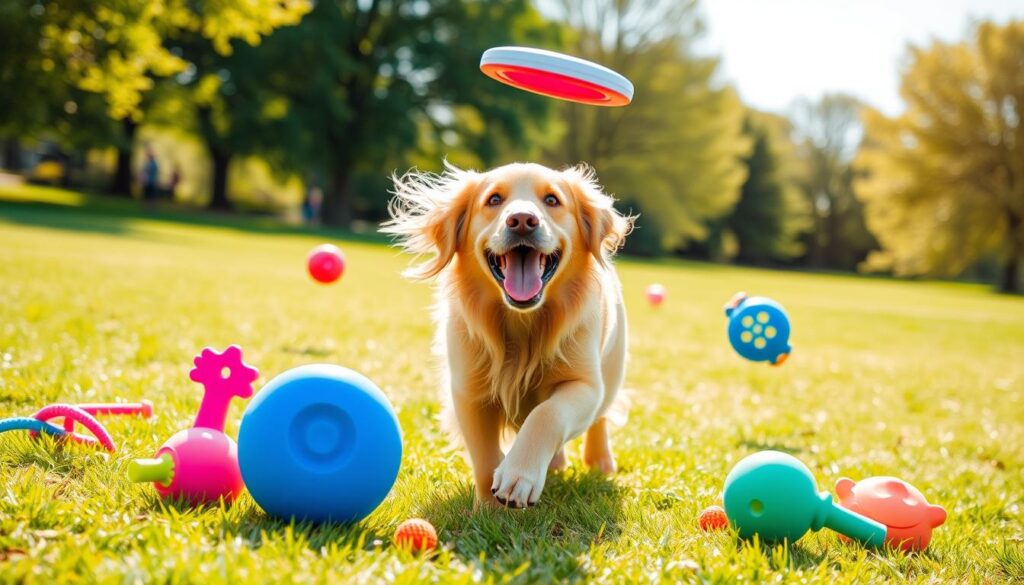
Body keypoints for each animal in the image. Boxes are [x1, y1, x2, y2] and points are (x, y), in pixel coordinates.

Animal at [385, 163, 630, 508]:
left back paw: (600, 461)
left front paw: (519, 475)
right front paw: (488, 509)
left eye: (552, 199)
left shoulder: (584, 385)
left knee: (601, 416)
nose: (523, 220)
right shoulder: (469, 391)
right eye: (494, 199)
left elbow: (547, 413)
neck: (522, 321)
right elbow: (484, 456)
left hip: (612, 368)